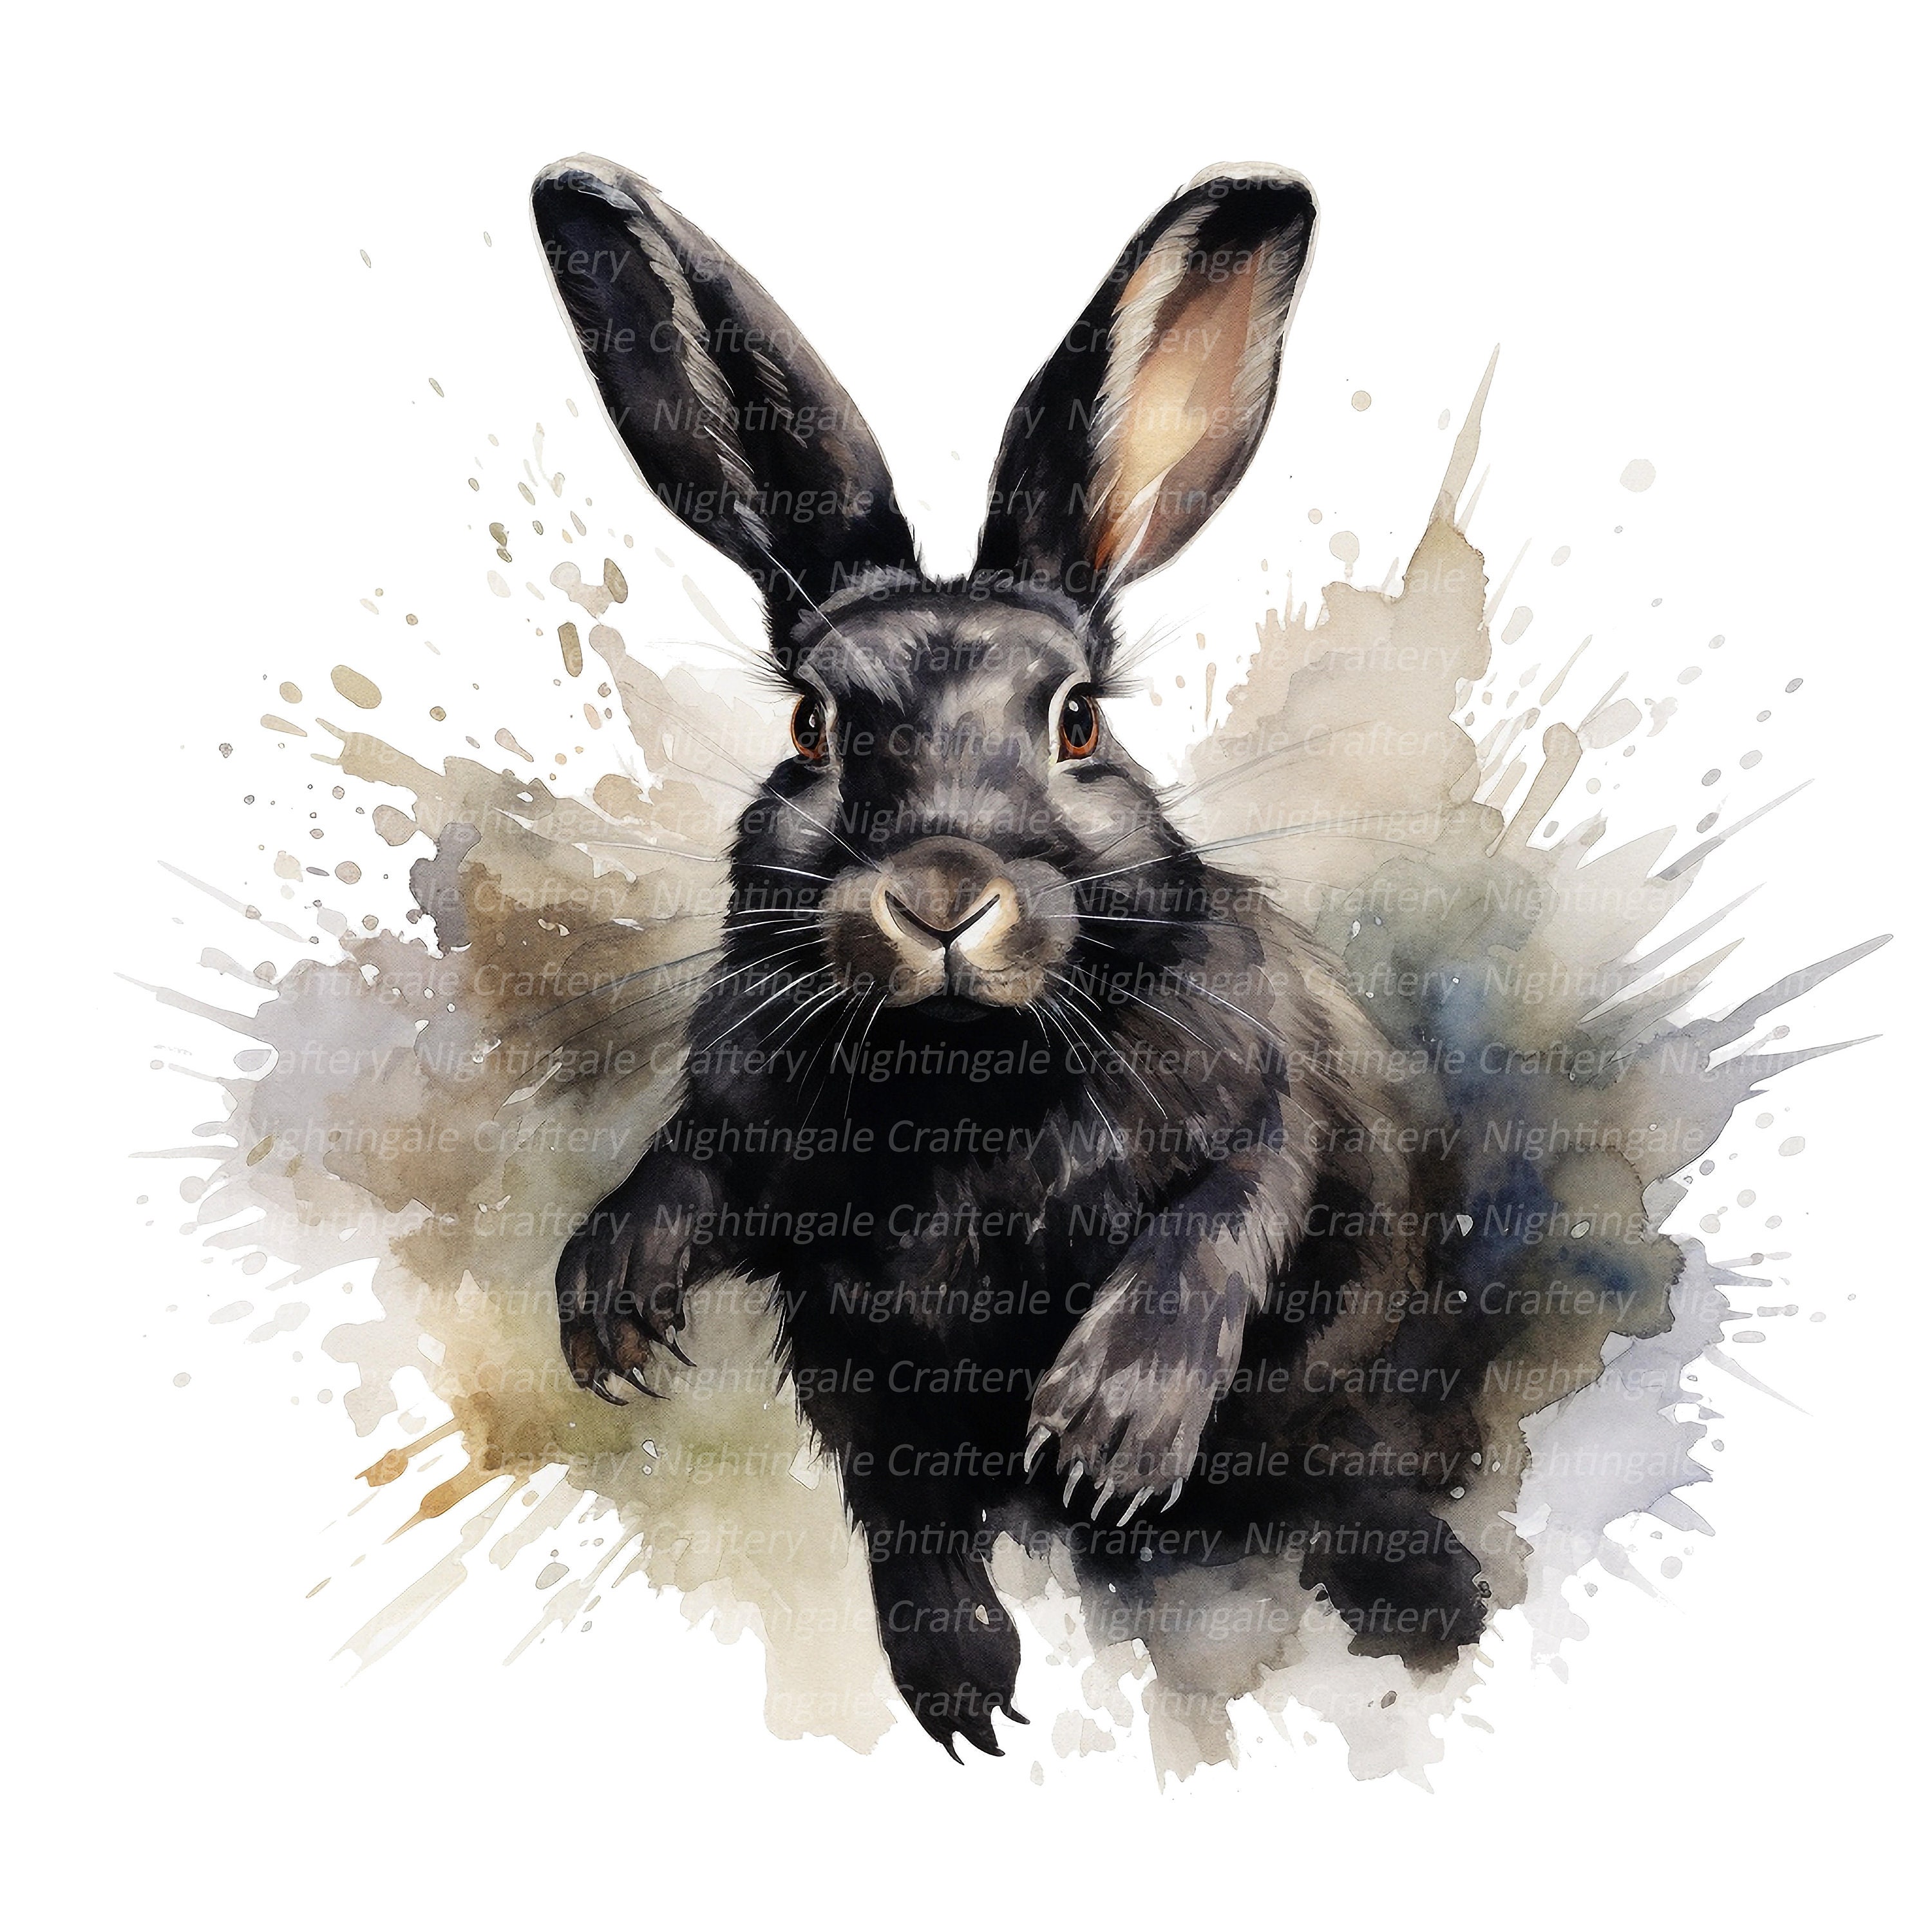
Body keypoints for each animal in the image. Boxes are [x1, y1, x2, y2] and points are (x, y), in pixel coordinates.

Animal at [534, 156, 1487, 1758]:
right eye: (812, 728)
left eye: (1079, 722)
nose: (941, 893)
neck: (963, 1071)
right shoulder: (758, 1130)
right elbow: (696, 1168)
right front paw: (609, 1300)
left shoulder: (1263, 1097)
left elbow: (1224, 1217)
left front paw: (1110, 1428)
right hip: (877, 1416)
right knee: (915, 1531)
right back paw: (963, 1683)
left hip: (1354, 1399)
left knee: (1356, 1473)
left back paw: (1425, 1606)